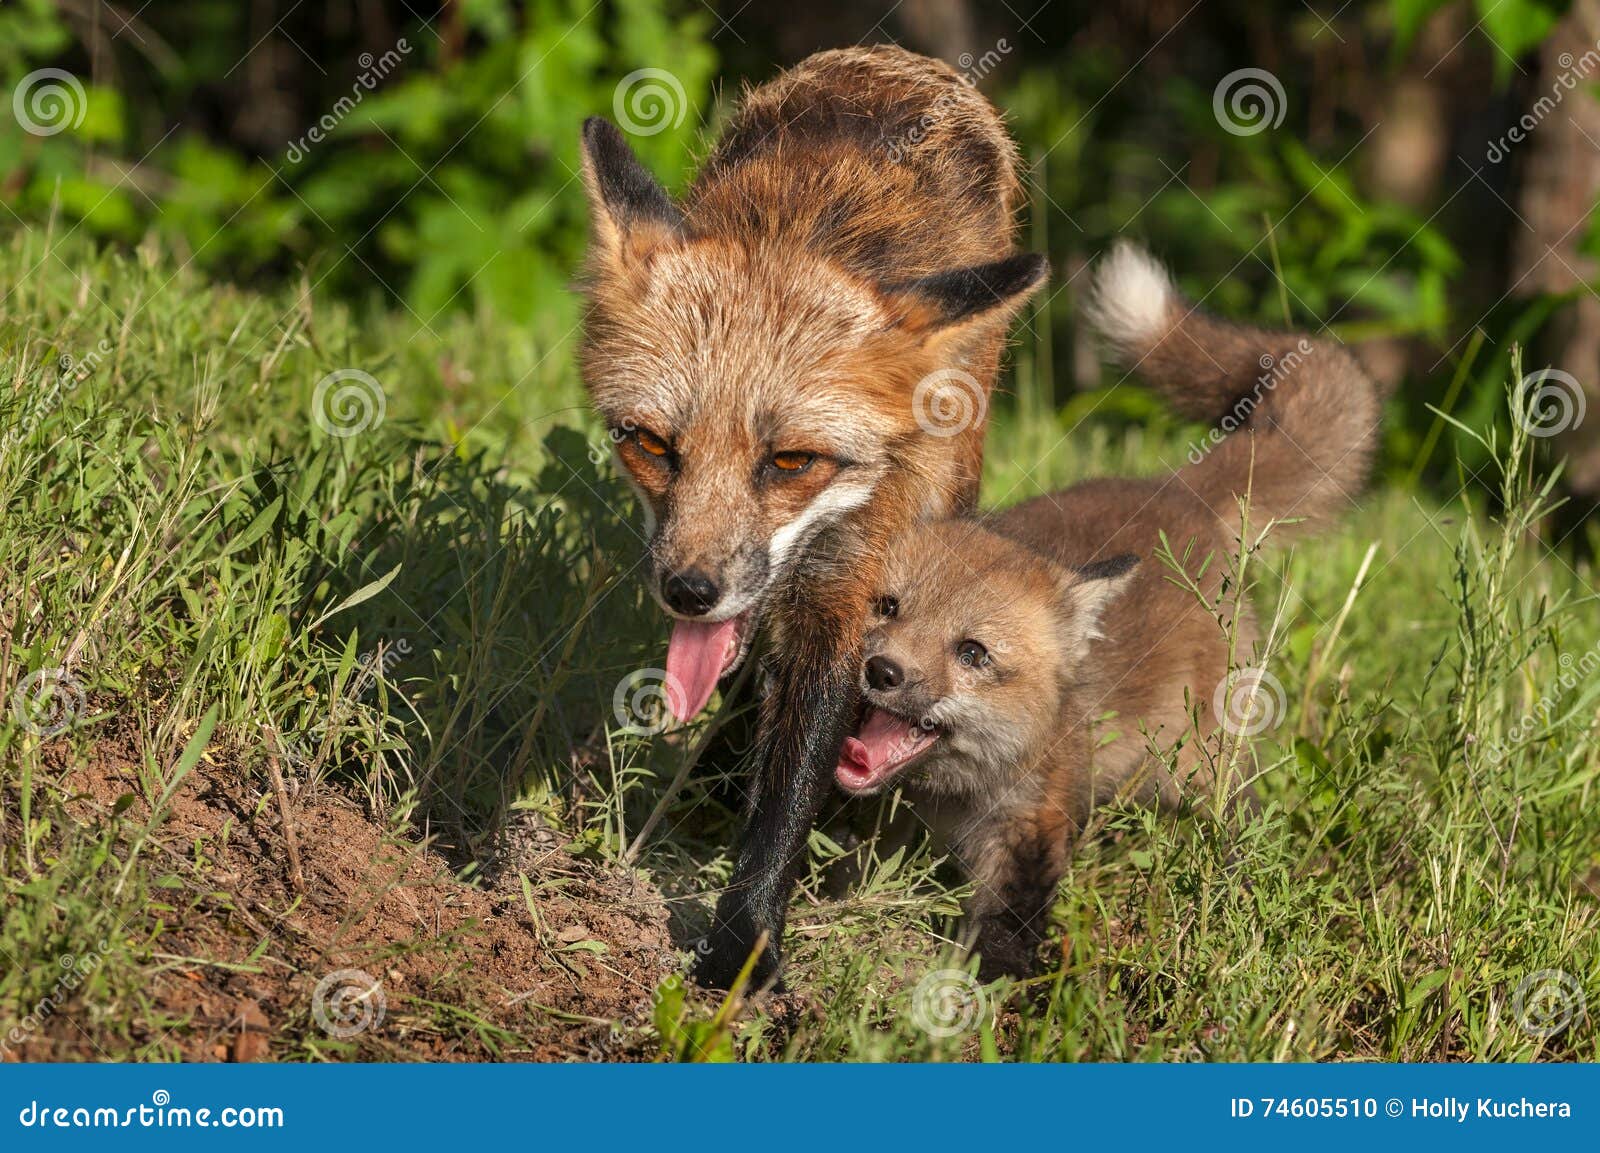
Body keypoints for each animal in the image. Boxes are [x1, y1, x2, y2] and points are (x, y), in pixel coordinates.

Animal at [577, 47, 1048, 988]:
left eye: (791, 461)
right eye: (651, 443)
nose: (690, 590)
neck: (801, 233)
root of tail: (907, 63)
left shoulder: (853, 574)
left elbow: (797, 770)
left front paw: (743, 948)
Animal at [834, 242, 1380, 980]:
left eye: (972, 653)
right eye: (887, 607)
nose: (882, 671)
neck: (950, 798)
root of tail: (1175, 486)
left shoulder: (1033, 825)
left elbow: (1002, 935)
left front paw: (980, 994)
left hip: (1203, 759)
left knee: (1238, 812)